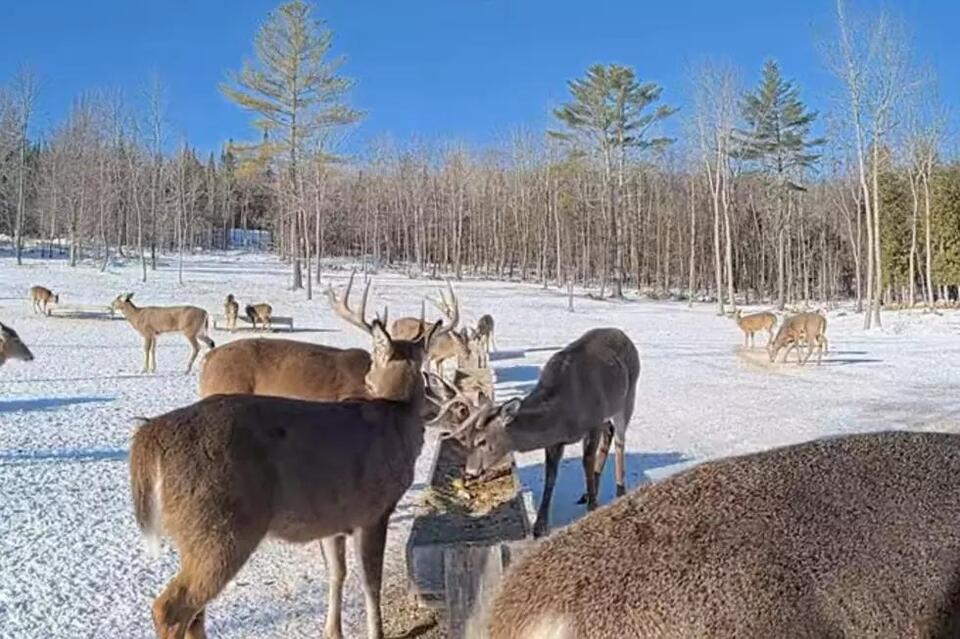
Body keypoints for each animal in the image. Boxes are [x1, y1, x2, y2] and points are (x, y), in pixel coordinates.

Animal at [130, 297, 454, 639]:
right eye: (425, 369)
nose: (367, 379)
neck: (396, 415)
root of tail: (150, 434)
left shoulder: (335, 517)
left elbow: (337, 572)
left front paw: (332, 631)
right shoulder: (374, 510)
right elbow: (370, 583)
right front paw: (375, 633)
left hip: (197, 534)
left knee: (195, 612)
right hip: (220, 527)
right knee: (170, 608)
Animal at [442, 327, 640, 537]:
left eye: (482, 440)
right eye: (467, 438)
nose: (469, 471)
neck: (564, 417)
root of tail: (624, 335)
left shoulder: (593, 422)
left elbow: (586, 463)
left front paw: (593, 507)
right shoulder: (555, 441)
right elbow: (550, 477)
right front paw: (539, 526)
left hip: (627, 396)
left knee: (620, 440)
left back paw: (620, 490)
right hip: (608, 411)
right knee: (609, 430)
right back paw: (587, 493)